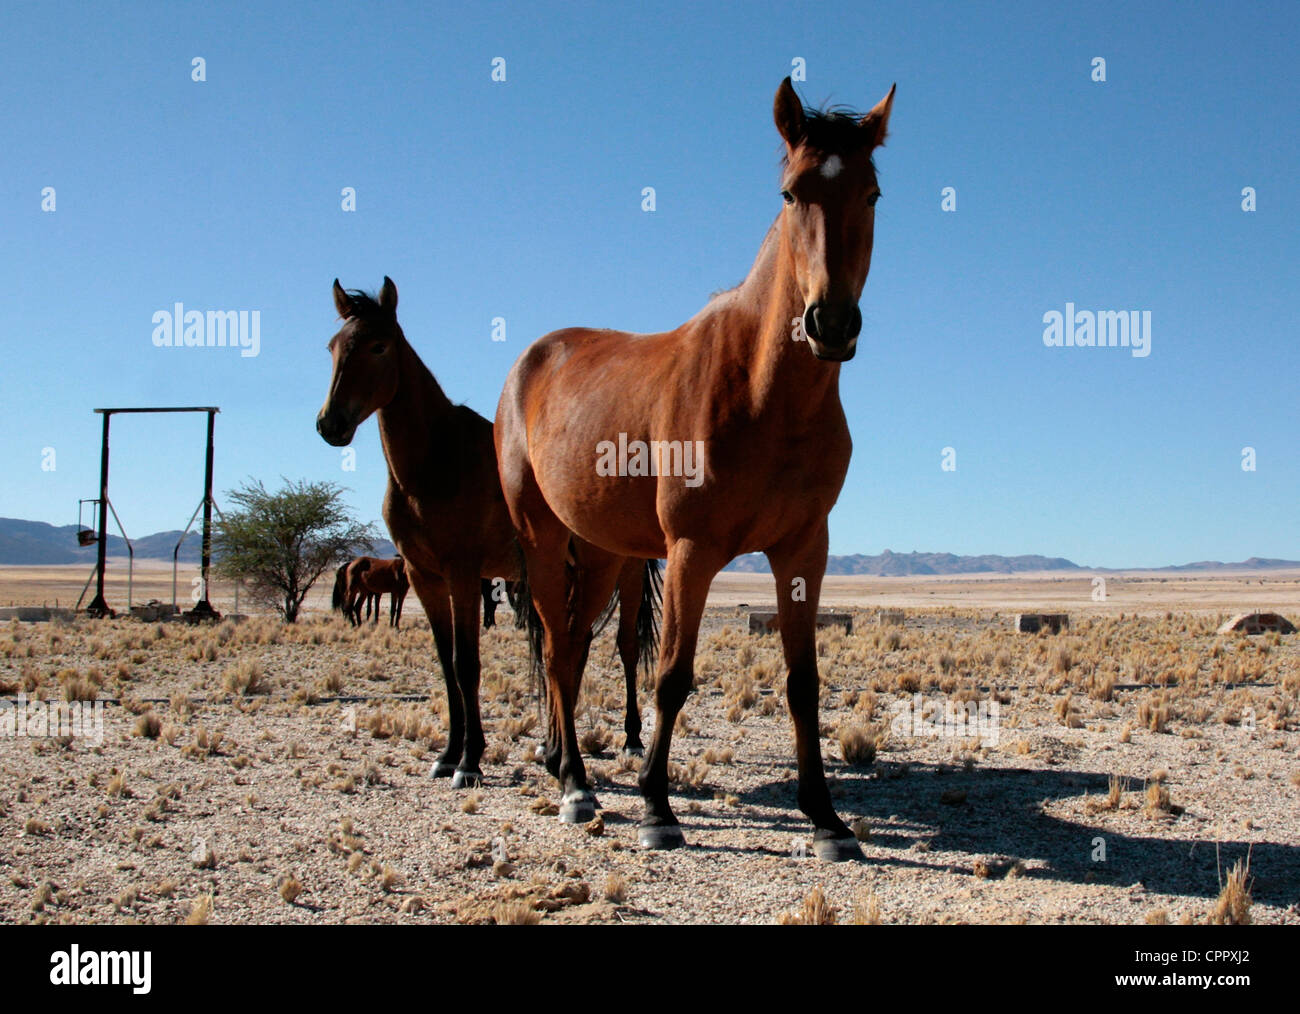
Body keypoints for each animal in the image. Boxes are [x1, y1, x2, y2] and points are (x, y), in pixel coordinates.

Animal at [316, 278, 662, 784]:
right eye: (333, 346)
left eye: (379, 346)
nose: (331, 424)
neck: (434, 462)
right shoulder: (423, 576)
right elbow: (447, 662)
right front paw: (448, 753)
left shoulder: (462, 572)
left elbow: (467, 665)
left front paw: (470, 759)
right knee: (571, 647)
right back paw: (552, 747)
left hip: (626, 571)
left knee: (623, 647)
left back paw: (630, 738)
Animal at [496, 77, 894, 856]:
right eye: (791, 192)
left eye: (871, 193)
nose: (830, 323)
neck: (766, 393)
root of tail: (529, 362)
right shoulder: (691, 551)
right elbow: (673, 677)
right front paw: (657, 806)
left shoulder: (804, 549)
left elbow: (803, 681)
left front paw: (826, 818)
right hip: (544, 537)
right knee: (557, 648)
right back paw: (575, 787)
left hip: (602, 552)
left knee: (572, 648)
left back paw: (563, 762)